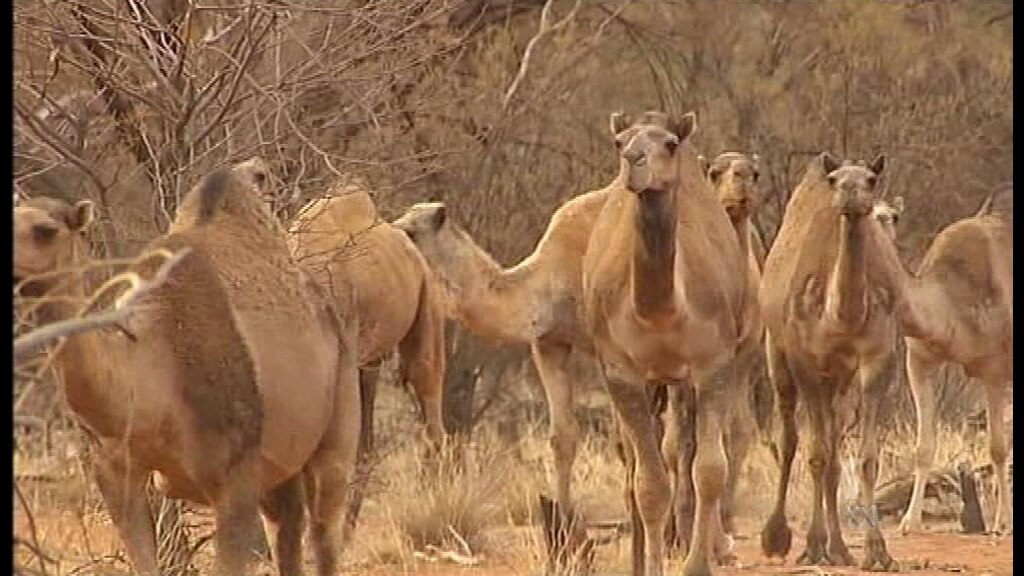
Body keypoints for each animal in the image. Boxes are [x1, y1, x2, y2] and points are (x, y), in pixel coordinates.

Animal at [13, 170, 361, 576]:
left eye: (45, 230)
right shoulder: (115, 473)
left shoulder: (236, 477)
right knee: (287, 524)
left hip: (339, 410)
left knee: (325, 527)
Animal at [580, 110, 749, 576]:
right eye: (619, 142)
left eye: (670, 144)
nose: (634, 162)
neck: (663, 311)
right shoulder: (620, 371)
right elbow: (649, 485)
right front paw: (653, 565)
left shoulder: (714, 363)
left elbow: (709, 469)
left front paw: (698, 564)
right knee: (634, 466)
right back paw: (639, 557)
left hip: (681, 380)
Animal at [759, 152, 903, 570]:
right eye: (837, 179)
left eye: (870, 179)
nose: (850, 193)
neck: (841, 317)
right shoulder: (806, 362)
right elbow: (816, 454)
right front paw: (810, 545)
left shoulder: (877, 361)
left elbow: (865, 458)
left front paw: (877, 552)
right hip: (778, 357)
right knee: (791, 438)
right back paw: (780, 538)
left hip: (840, 382)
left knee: (835, 448)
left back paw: (839, 548)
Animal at [897, 183, 1012, 535]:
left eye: (890, 215)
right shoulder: (918, 360)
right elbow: (923, 447)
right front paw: (909, 522)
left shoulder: (995, 369)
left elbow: (998, 447)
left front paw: (1003, 522)